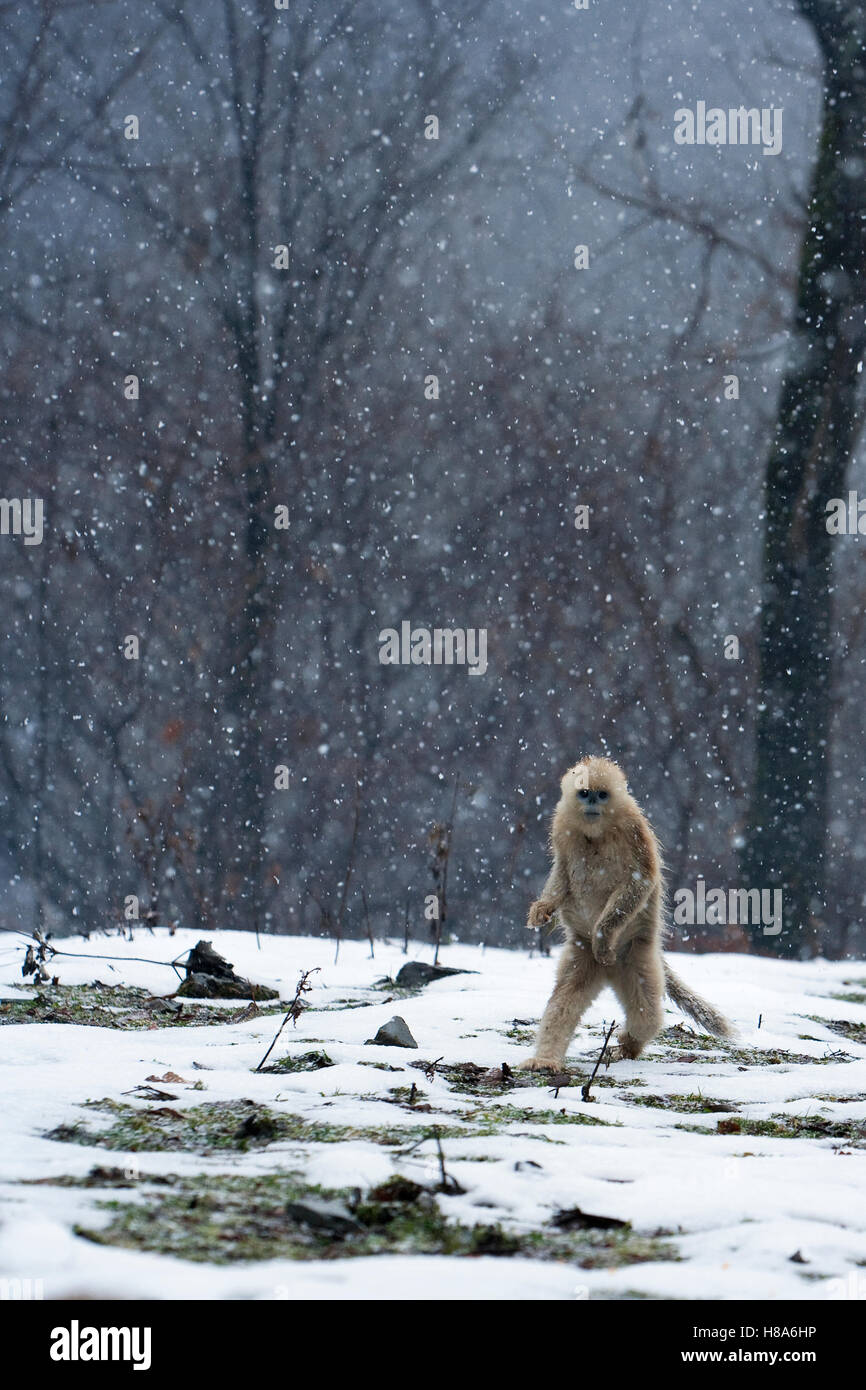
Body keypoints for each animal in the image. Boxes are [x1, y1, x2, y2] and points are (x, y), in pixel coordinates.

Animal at [519, 756, 733, 1070]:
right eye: (585, 793)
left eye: (602, 794)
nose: (592, 802)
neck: (595, 833)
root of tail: (607, 970)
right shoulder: (562, 825)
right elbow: (562, 871)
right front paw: (542, 909)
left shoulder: (633, 827)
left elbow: (640, 881)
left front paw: (603, 935)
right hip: (583, 954)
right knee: (566, 996)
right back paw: (546, 1060)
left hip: (636, 955)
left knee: (647, 1015)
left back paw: (629, 1044)